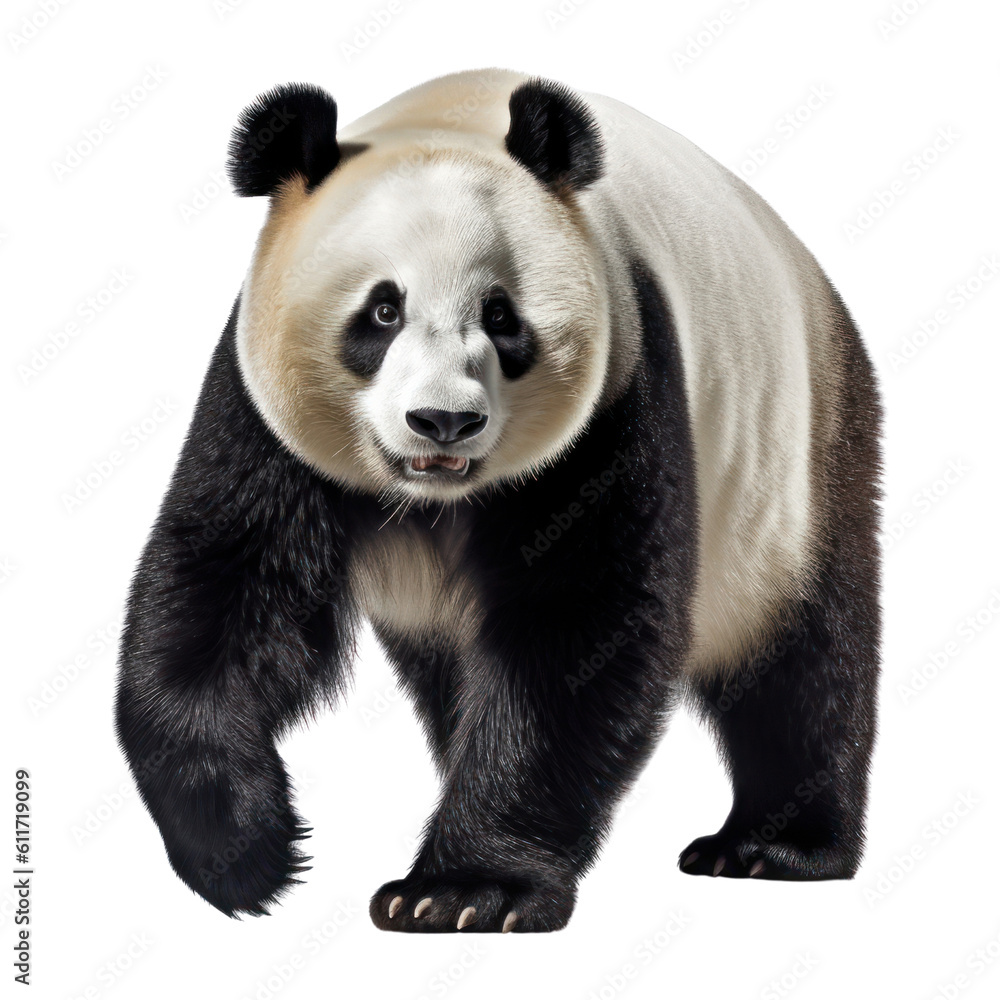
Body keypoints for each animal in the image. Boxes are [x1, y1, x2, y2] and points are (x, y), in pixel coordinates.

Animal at [115, 68, 881, 932]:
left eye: (502, 317)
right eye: (384, 310)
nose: (444, 420)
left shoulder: (618, 386)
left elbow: (581, 630)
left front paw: (464, 890)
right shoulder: (259, 409)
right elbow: (226, 590)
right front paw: (247, 853)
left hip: (794, 459)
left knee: (804, 657)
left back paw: (772, 845)